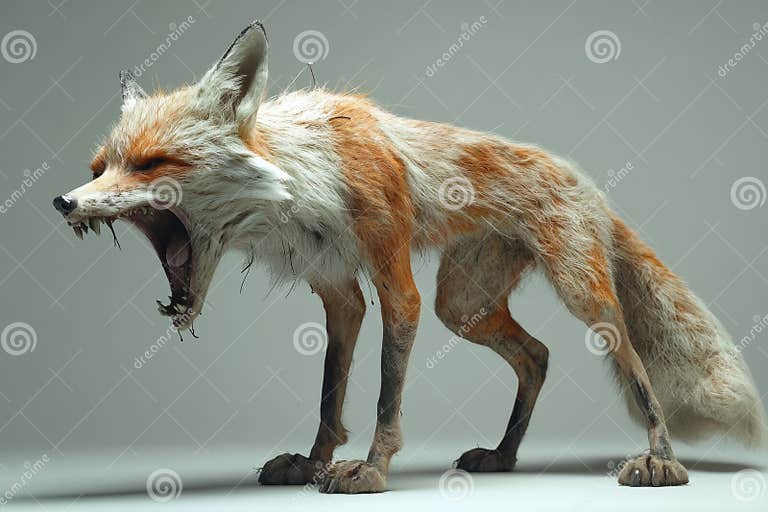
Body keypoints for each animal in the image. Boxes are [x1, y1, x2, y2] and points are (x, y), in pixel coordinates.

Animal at [52, 21, 766, 493]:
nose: (63, 202)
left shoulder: (396, 278)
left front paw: (371, 468)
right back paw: (505, 455)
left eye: (152, 164)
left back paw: (661, 461)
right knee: (537, 355)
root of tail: (583, 178)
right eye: (100, 166)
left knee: (634, 365)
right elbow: (330, 395)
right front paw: (313, 462)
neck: (306, 177)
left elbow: (383, 398)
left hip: (578, 292)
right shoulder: (338, 290)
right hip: (465, 304)